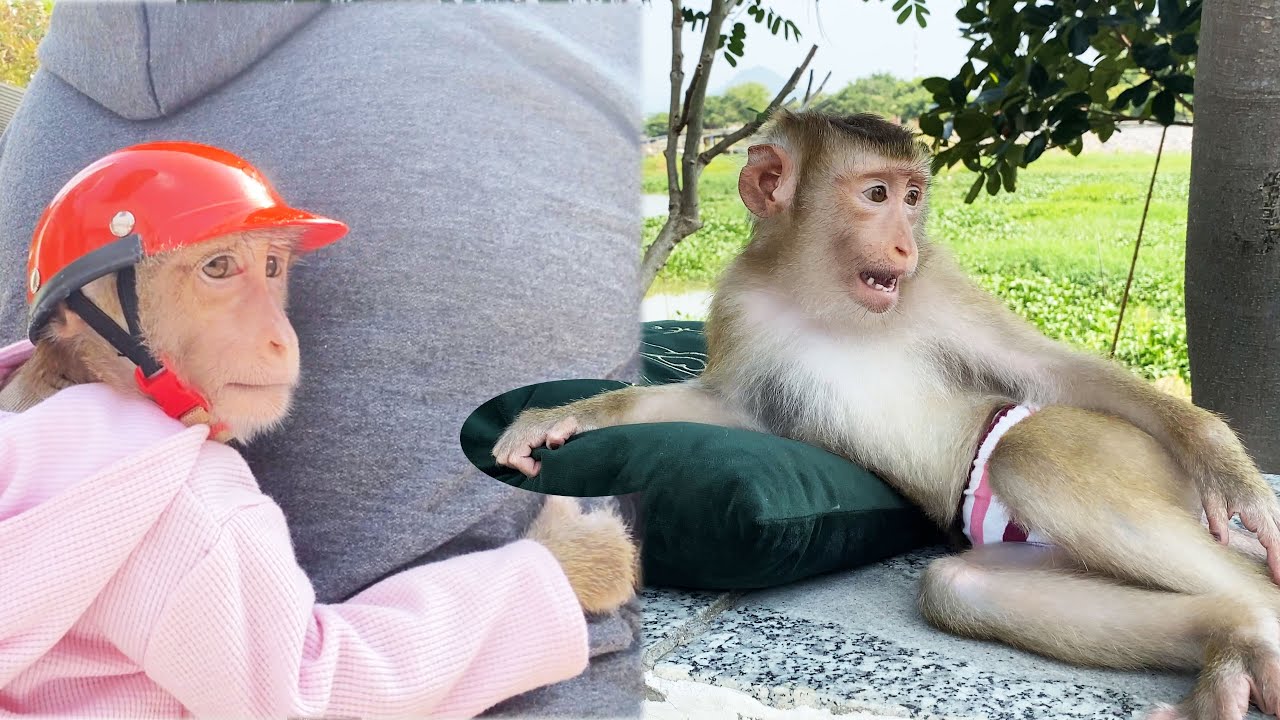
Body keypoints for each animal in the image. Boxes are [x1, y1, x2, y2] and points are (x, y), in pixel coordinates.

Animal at [493, 110, 1280, 719]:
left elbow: (1053, 370)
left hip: (1126, 453)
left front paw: (1222, 457)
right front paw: (564, 415)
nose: (903, 240)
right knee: (960, 588)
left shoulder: (936, 283)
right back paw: (1235, 643)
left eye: (912, 197)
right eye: (876, 194)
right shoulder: (742, 306)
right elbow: (725, 409)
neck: (821, 298)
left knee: (1039, 448)